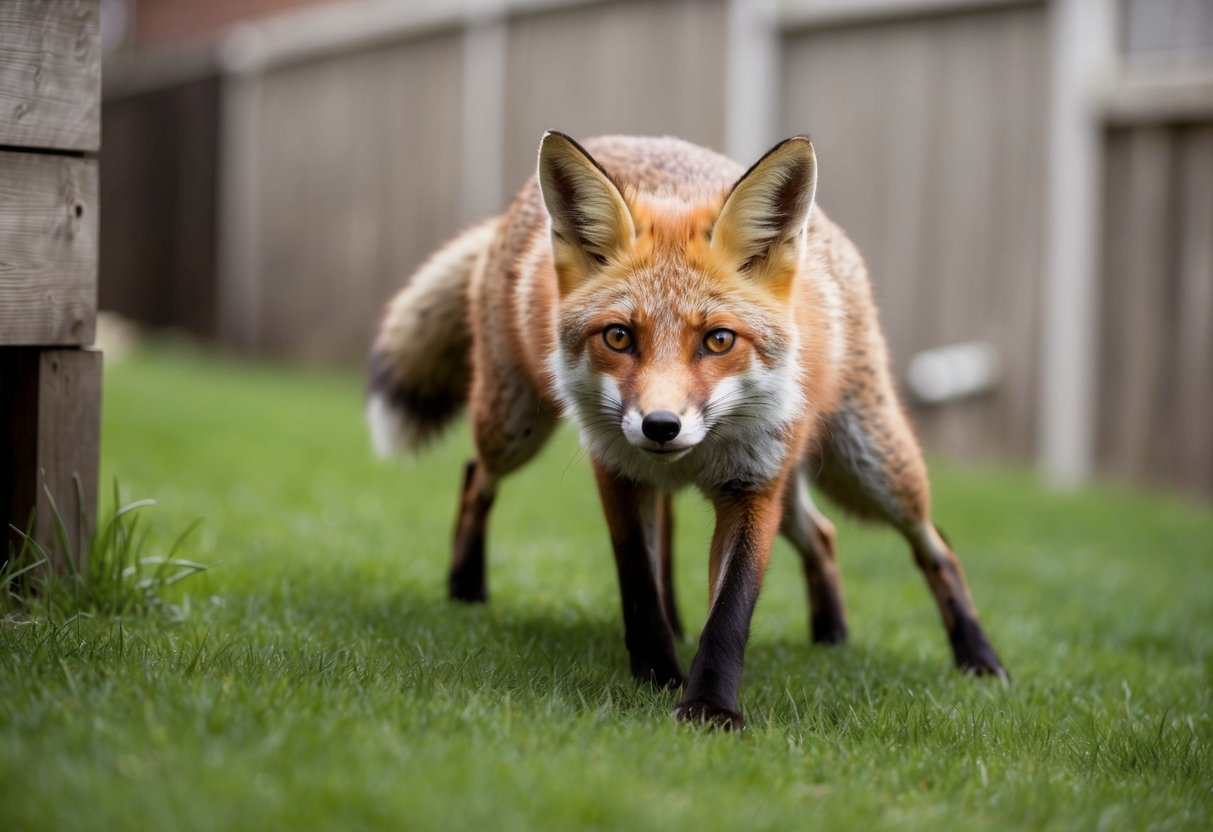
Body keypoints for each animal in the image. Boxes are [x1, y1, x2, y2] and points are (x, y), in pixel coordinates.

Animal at [368, 132, 1006, 730]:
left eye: (718, 340)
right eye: (619, 336)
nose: (661, 426)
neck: (694, 457)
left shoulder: (756, 487)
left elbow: (730, 611)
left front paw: (710, 708)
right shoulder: (617, 471)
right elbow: (638, 584)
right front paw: (656, 674)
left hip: (871, 466)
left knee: (923, 542)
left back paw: (966, 656)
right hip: (513, 426)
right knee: (476, 473)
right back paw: (467, 590)